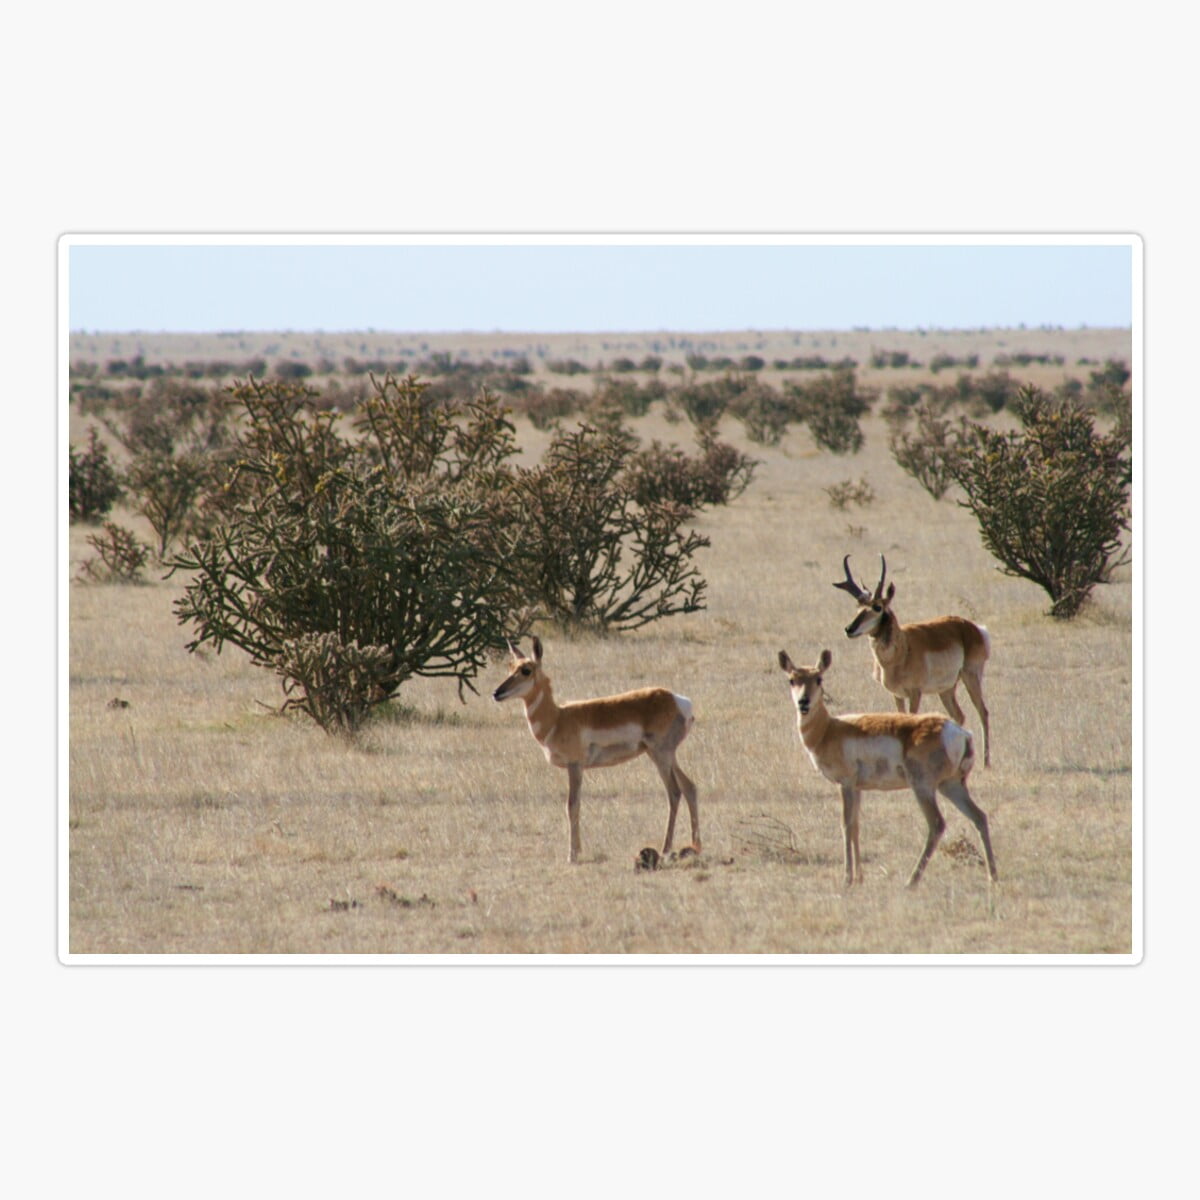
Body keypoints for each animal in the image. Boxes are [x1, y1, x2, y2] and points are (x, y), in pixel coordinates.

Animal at [492, 636, 700, 864]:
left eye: (526, 670)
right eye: (510, 666)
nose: (497, 693)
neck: (558, 717)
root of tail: (678, 700)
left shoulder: (575, 766)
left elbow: (572, 805)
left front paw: (572, 855)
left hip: (661, 755)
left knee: (674, 791)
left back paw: (665, 849)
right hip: (663, 756)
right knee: (689, 787)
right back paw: (695, 847)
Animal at [778, 648, 997, 888]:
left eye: (819, 679)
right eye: (792, 680)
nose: (803, 702)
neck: (830, 729)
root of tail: (960, 732)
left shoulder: (845, 784)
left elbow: (846, 825)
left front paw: (847, 878)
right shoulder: (857, 788)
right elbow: (856, 826)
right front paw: (859, 877)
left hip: (924, 788)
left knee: (937, 824)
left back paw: (911, 880)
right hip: (951, 786)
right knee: (979, 816)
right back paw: (992, 876)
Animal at [833, 554, 992, 766]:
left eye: (877, 607)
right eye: (858, 606)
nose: (849, 629)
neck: (901, 651)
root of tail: (973, 628)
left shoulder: (915, 693)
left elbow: (911, 720)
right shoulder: (897, 694)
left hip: (971, 677)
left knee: (983, 712)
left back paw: (986, 764)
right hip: (946, 689)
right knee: (958, 715)